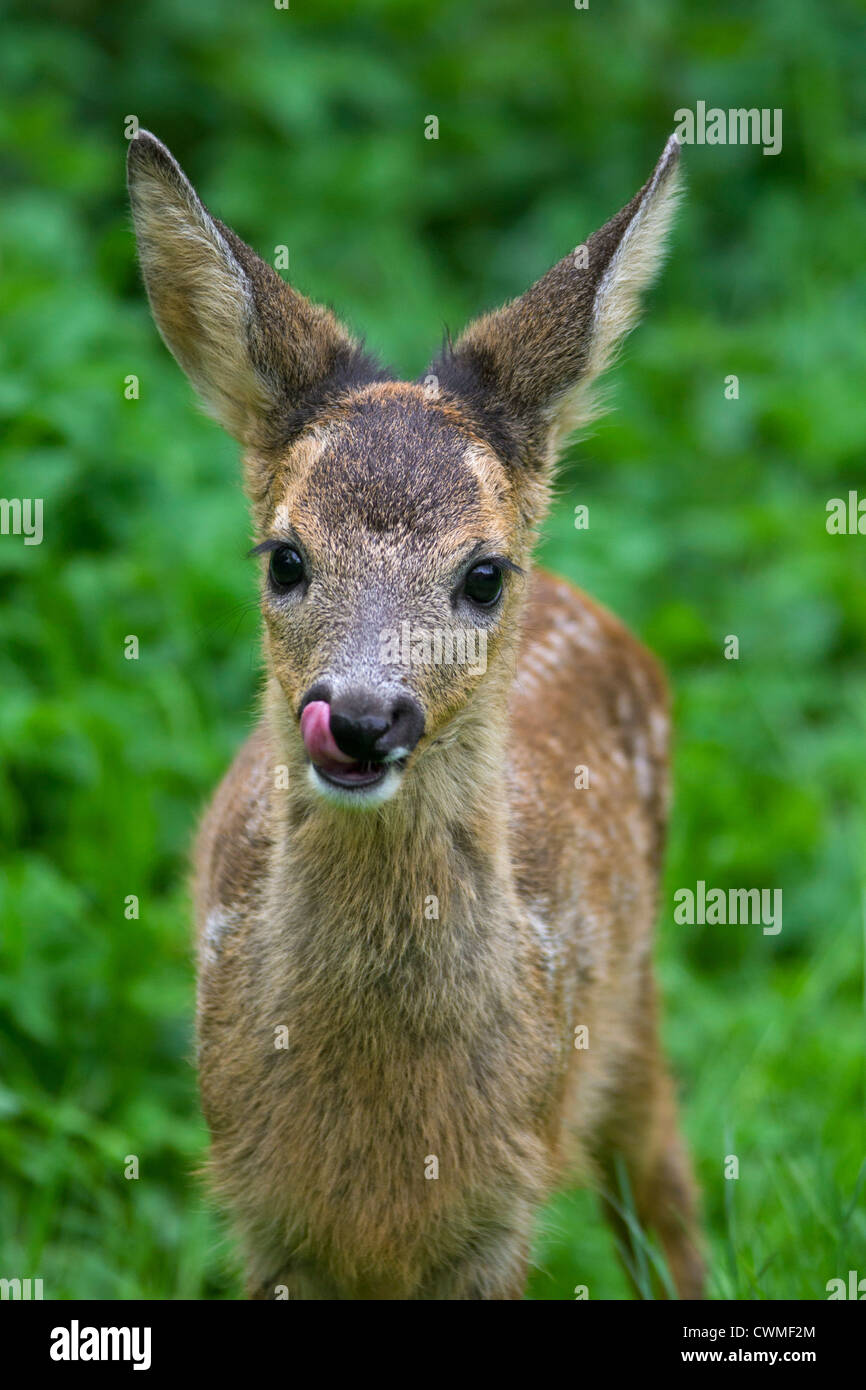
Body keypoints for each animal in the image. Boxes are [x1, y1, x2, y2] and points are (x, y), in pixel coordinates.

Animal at [127, 129, 704, 1301]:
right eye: (285, 558)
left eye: (482, 573)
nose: (359, 716)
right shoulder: (264, 1215)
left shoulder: (499, 1214)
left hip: (630, 1003)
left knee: (664, 1189)